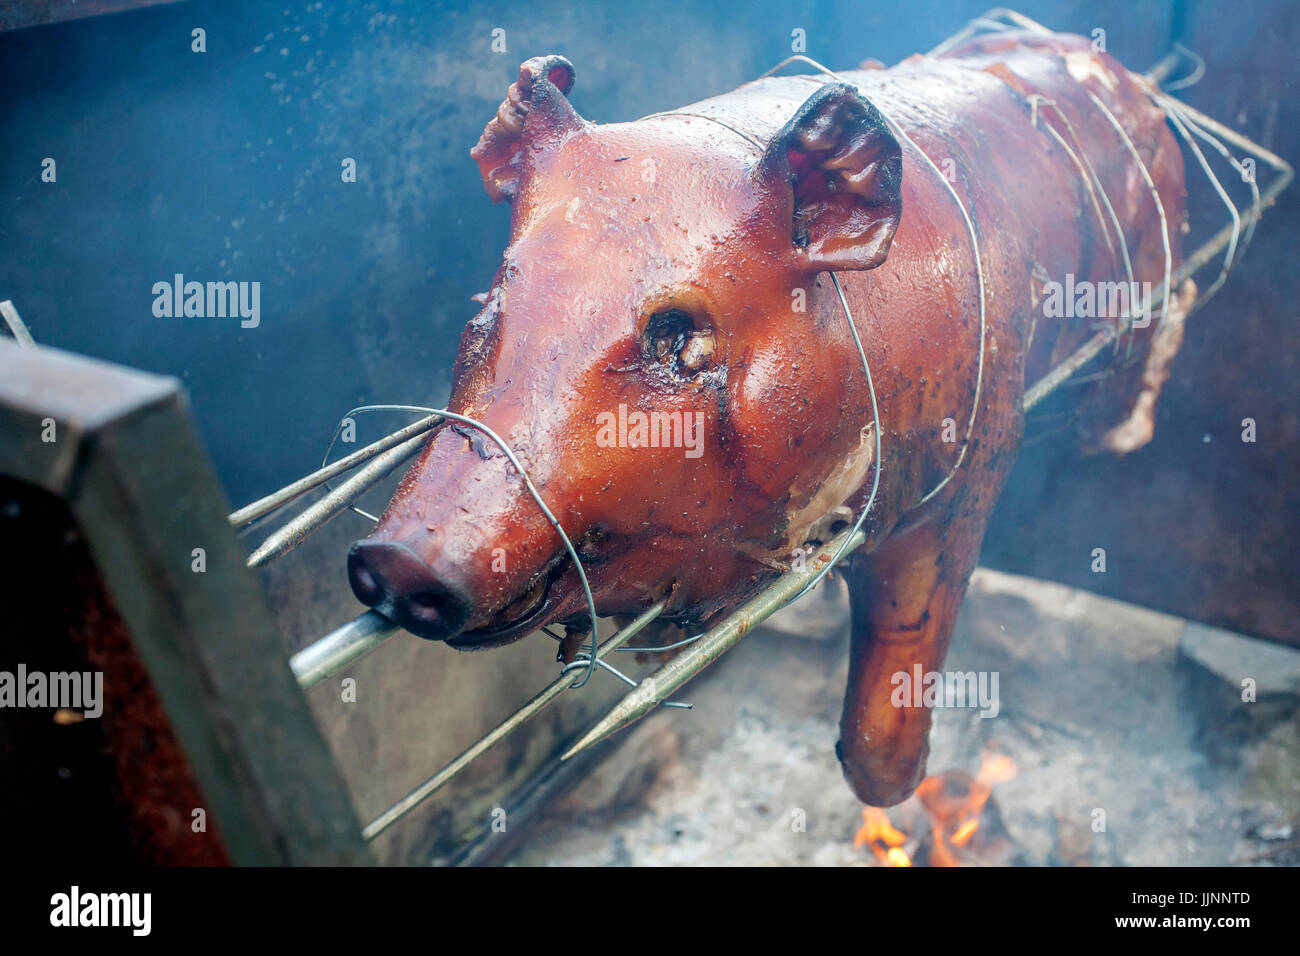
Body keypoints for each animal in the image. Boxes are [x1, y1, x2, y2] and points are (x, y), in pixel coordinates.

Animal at [347, 30, 1190, 806]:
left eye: (678, 333)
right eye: (493, 298)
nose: (397, 558)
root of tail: (1133, 77)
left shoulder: (973, 459)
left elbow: (894, 679)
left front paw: (889, 788)